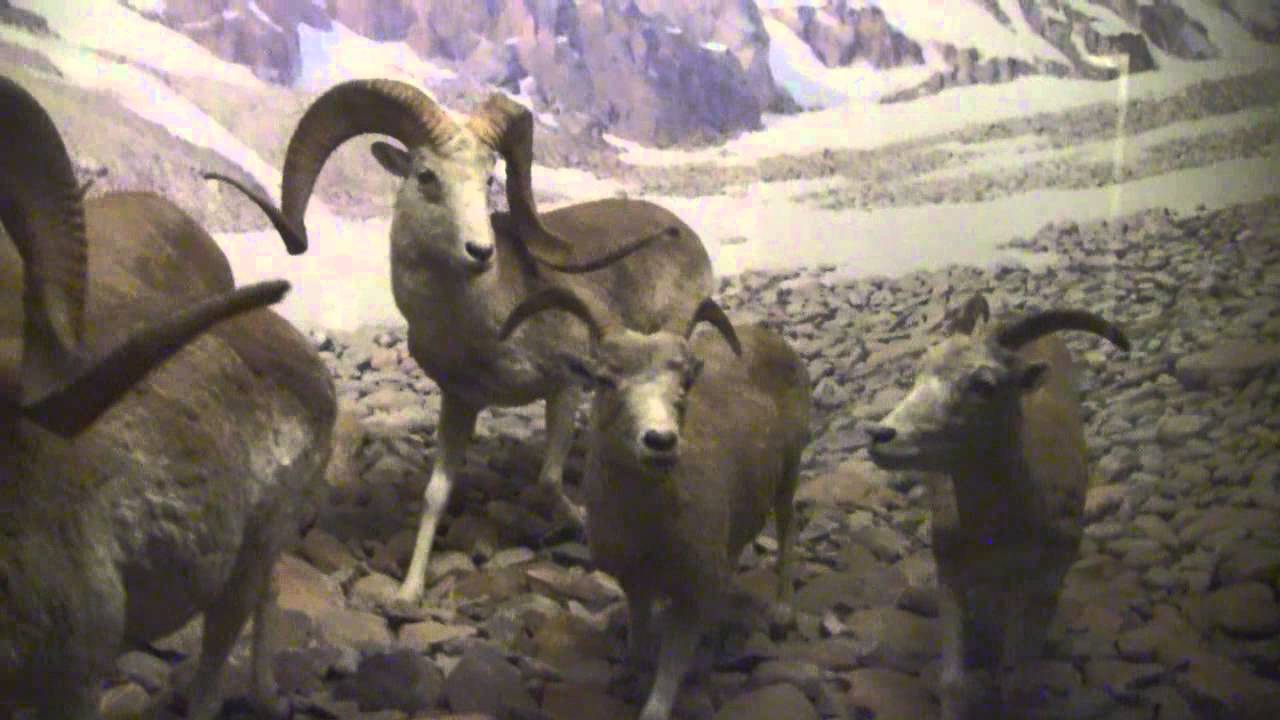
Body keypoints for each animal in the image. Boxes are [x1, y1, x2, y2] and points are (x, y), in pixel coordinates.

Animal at [207, 78, 714, 604]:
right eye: (427, 175)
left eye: (489, 180)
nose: (480, 251)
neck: (488, 321)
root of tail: (682, 231)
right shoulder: (460, 401)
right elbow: (436, 495)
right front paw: (408, 593)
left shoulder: (565, 387)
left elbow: (548, 480)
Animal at [497, 286, 812, 720]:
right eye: (605, 379)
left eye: (685, 382)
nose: (660, 441)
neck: (649, 533)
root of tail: (770, 337)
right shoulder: (636, 582)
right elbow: (639, 638)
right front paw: (629, 677)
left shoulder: (690, 592)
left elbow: (669, 670)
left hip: (790, 472)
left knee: (787, 525)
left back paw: (782, 611)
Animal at [864, 293, 1130, 720]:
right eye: (920, 371)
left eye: (983, 384)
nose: (880, 435)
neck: (1002, 532)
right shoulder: (951, 570)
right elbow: (954, 682)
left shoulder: (1044, 579)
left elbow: (1017, 679)